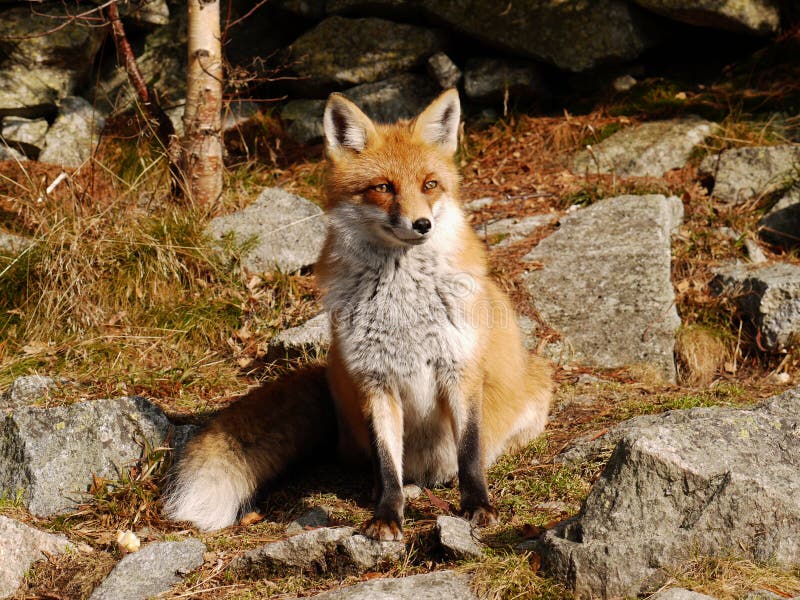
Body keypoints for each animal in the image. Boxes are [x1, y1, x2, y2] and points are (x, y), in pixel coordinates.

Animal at [163, 89, 552, 541]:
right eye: (383, 187)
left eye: (430, 184)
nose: (422, 224)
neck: (404, 304)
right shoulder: (374, 380)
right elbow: (386, 465)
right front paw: (387, 515)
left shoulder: (460, 370)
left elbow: (470, 451)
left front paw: (477, 505)